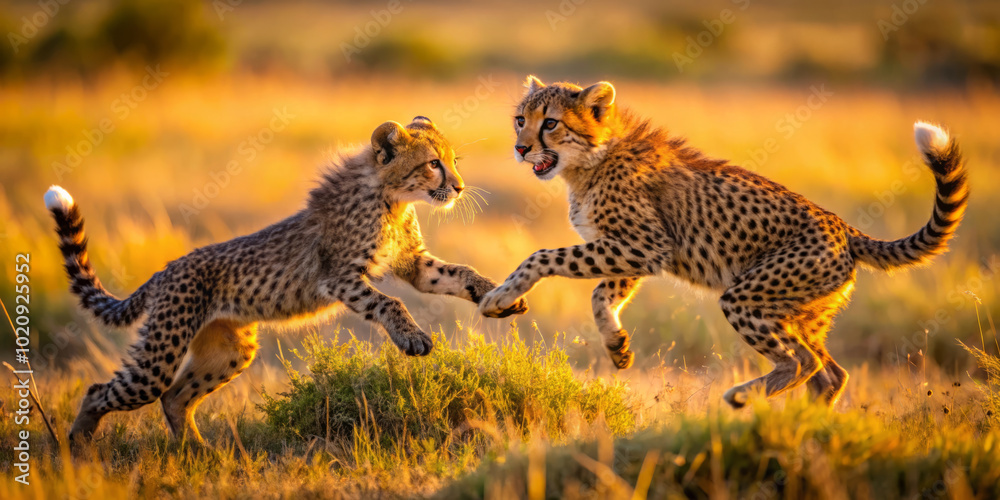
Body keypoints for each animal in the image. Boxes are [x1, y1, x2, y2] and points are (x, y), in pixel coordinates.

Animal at [46, 116, 527, 443]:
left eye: (453, 162)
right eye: (432, 164)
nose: (460, 187)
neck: (391, 197)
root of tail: (165, 270)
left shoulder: (414, 265)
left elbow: (459, 274)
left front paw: (502, 296)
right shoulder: (338, 277)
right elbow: (390, 302)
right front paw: (413, 338)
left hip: (230, 351)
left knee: (175, 398)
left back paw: (199, 454)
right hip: (161, 352)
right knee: (102, 391)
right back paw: (79, 450)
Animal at [478, 76, 968, 409]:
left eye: (551, 124)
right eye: (521, 120)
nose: (521, 148)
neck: (590, 159)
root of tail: (844, 228)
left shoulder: (643, 245)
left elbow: (542, 256)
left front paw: (500, 296)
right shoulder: (631, 252)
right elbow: (602, 296)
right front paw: (617, 347)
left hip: (747, 295)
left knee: (802, 363)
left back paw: (743, 398)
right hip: (802, 312)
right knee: (831, 373)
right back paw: (806, 427)